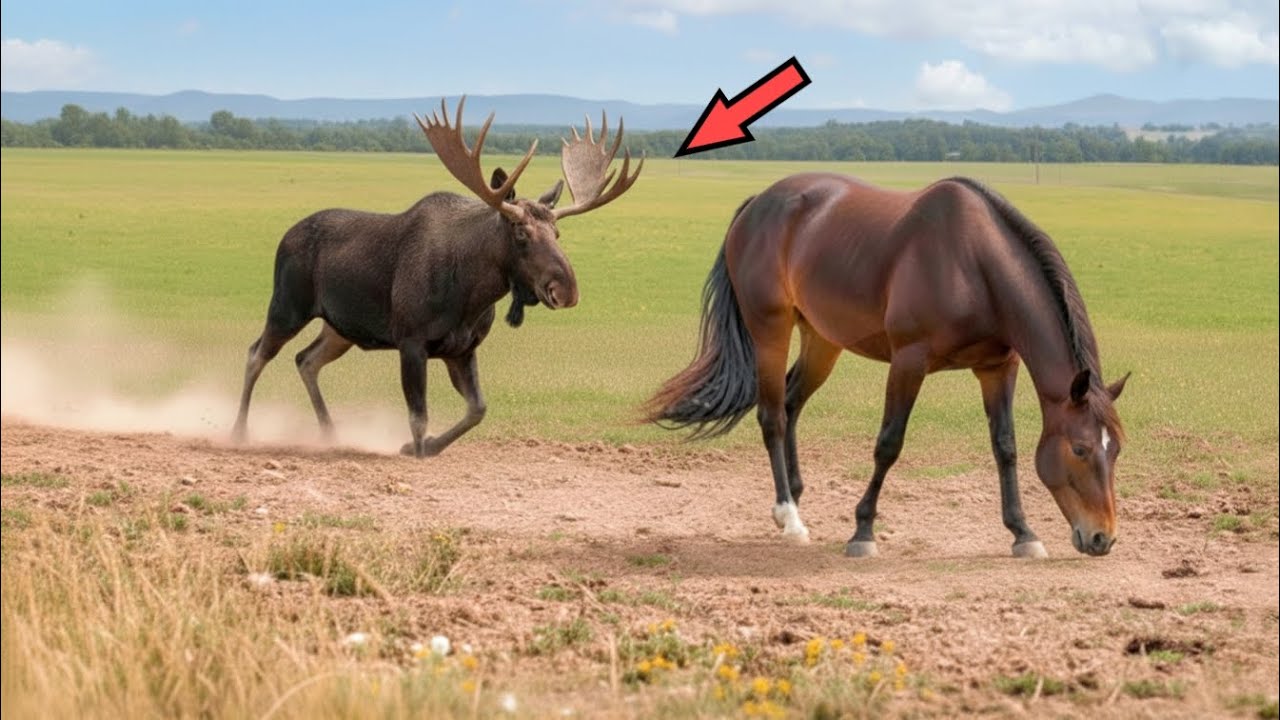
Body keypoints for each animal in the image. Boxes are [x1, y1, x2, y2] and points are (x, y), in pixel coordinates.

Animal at [645, 173, 1129, 558]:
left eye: (1116, 450)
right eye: (1080, 449)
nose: (1102, 538)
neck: (974, 265)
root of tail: (757, 203)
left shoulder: (997, 368)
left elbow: (1005, 447)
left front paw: (1022, 533)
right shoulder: (908, 361)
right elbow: (888, 444)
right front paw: (863, 530)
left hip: (822, 339)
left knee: (791, 401)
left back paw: (796, 496)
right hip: (771, 329)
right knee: (772, 415)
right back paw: (790, 518)